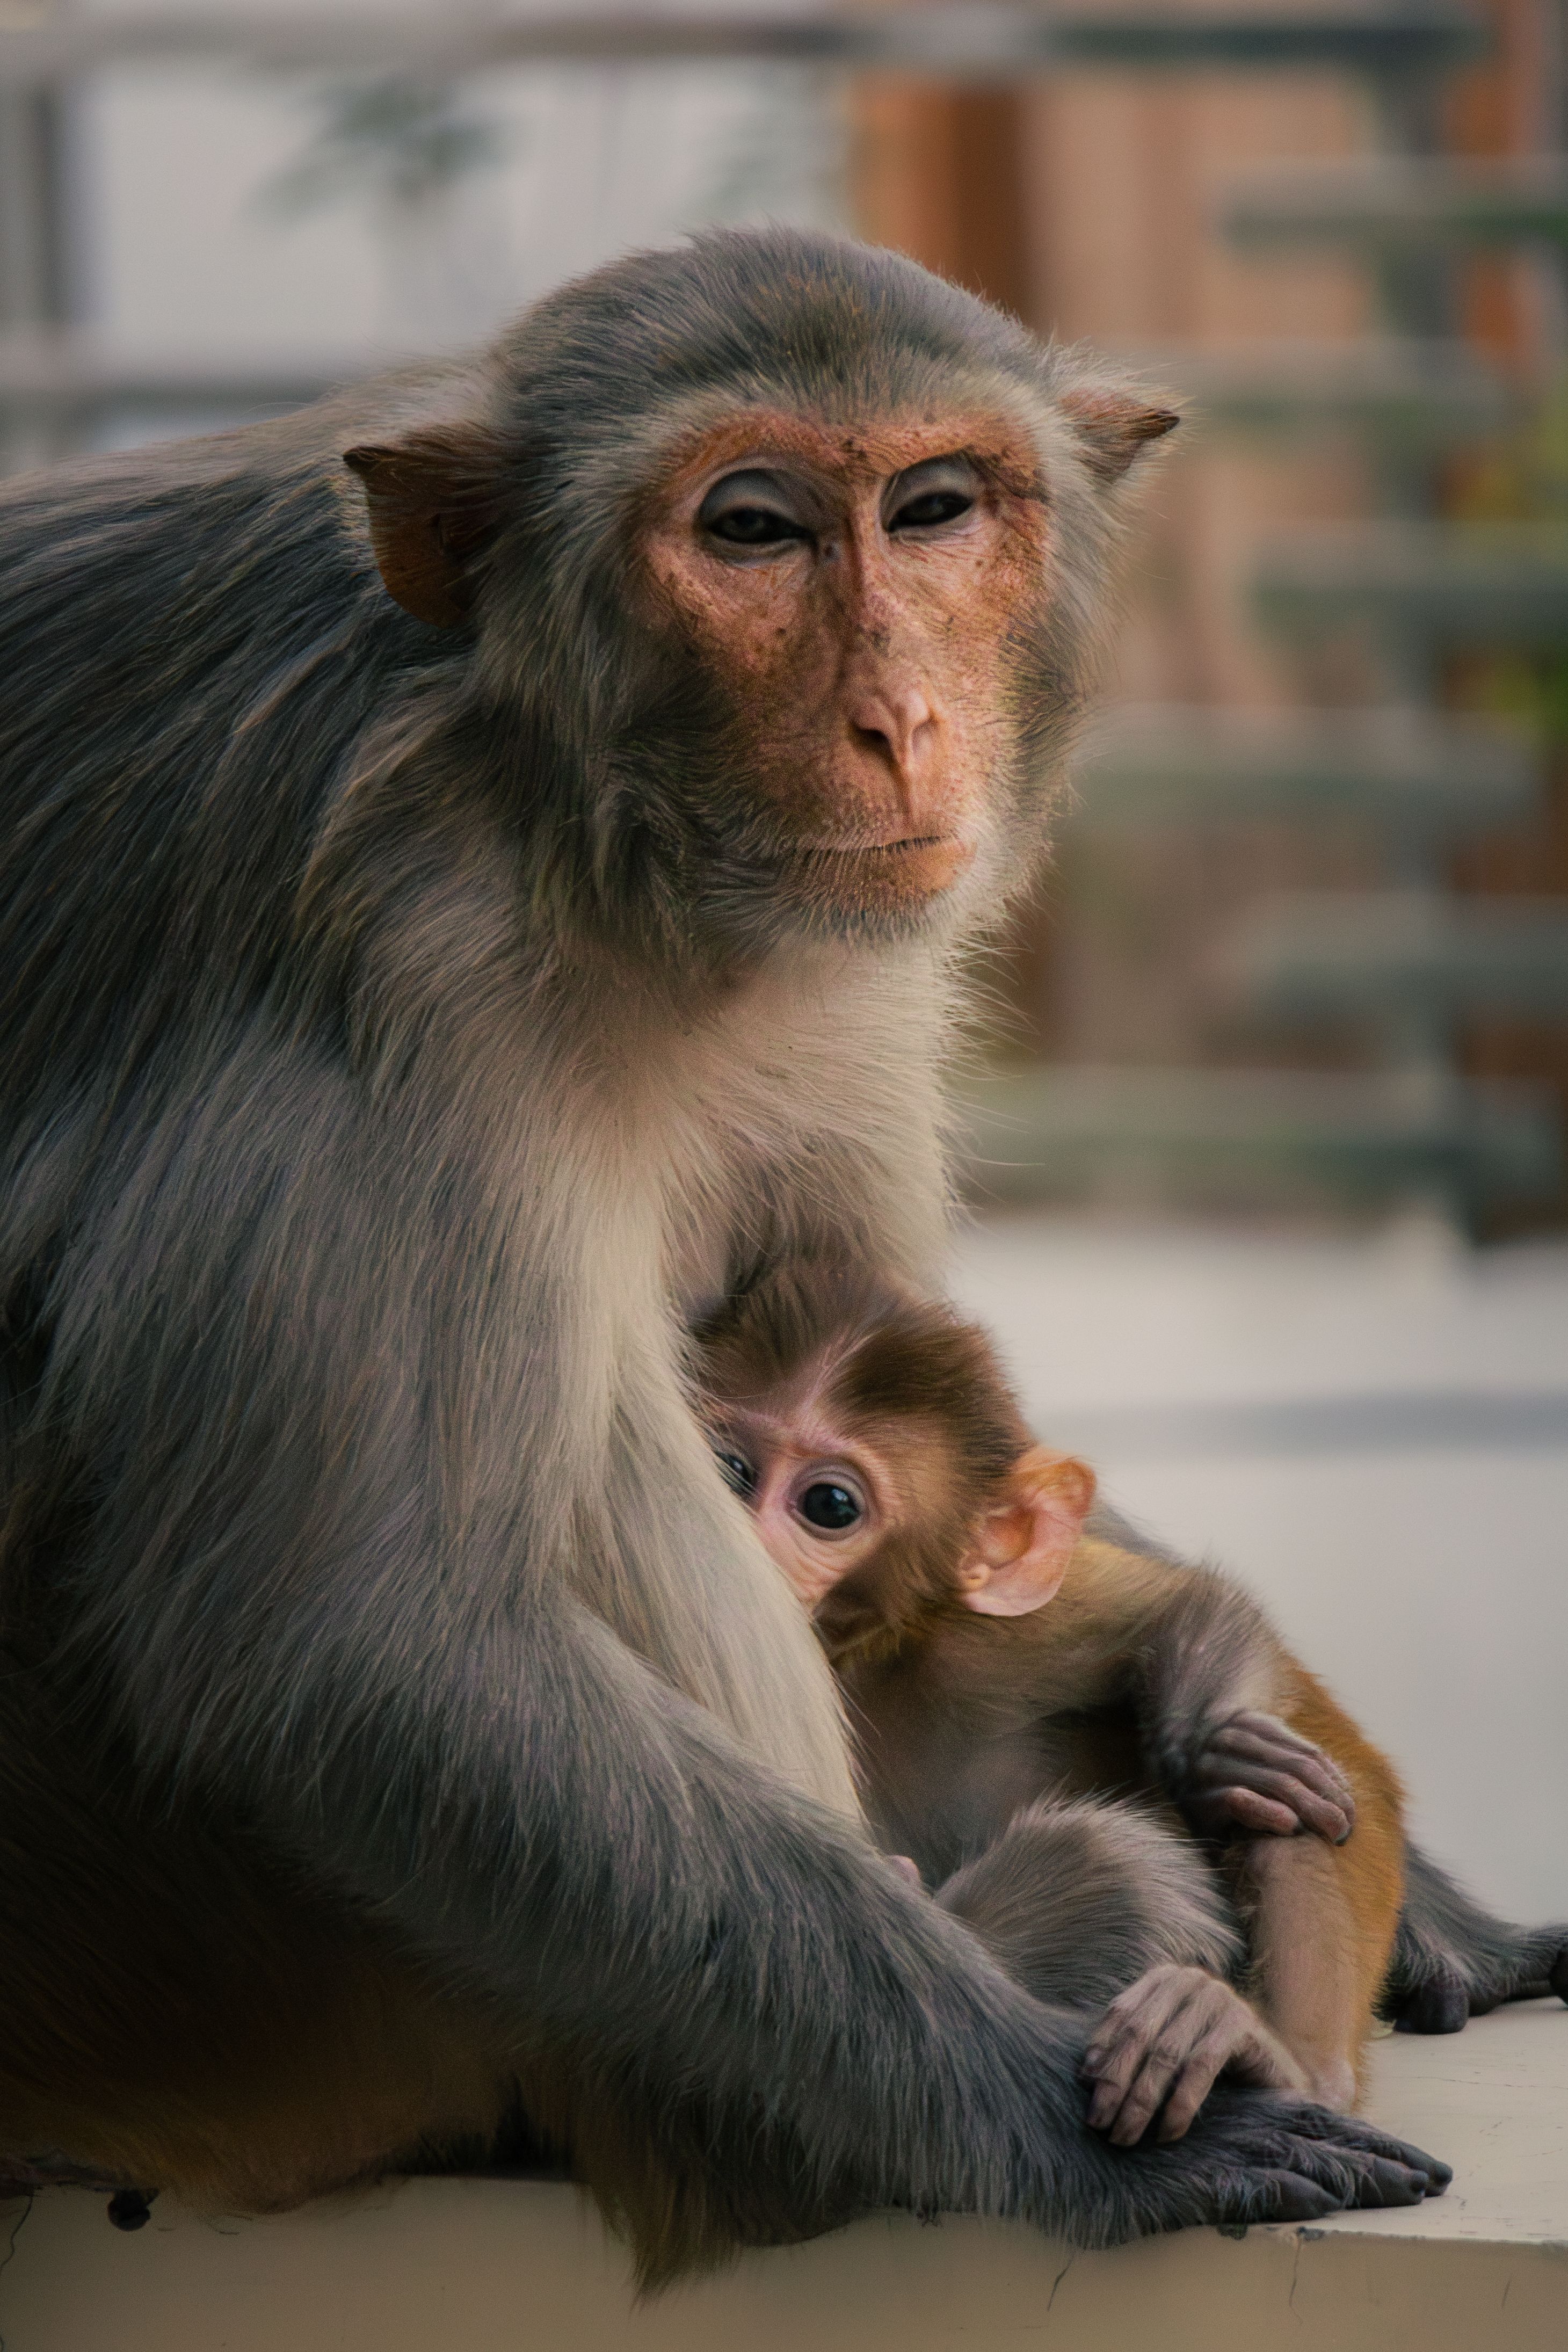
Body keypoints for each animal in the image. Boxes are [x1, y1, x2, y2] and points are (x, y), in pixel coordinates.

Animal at [0, 228, 1448, 2280]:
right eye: (750, 530)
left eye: (933, 511)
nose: (899, 720)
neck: (580, 820)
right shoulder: (383, 952)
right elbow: (343, 1642)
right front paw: (1048, 2122)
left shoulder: (836, 972)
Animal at [692, 1257, 1568, 2143]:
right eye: (732, 1469)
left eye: (829, 1506)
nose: (745, 1548)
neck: (860, 1663)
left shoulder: (975, 1634)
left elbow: (1198, 1619)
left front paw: (1210, 1742)